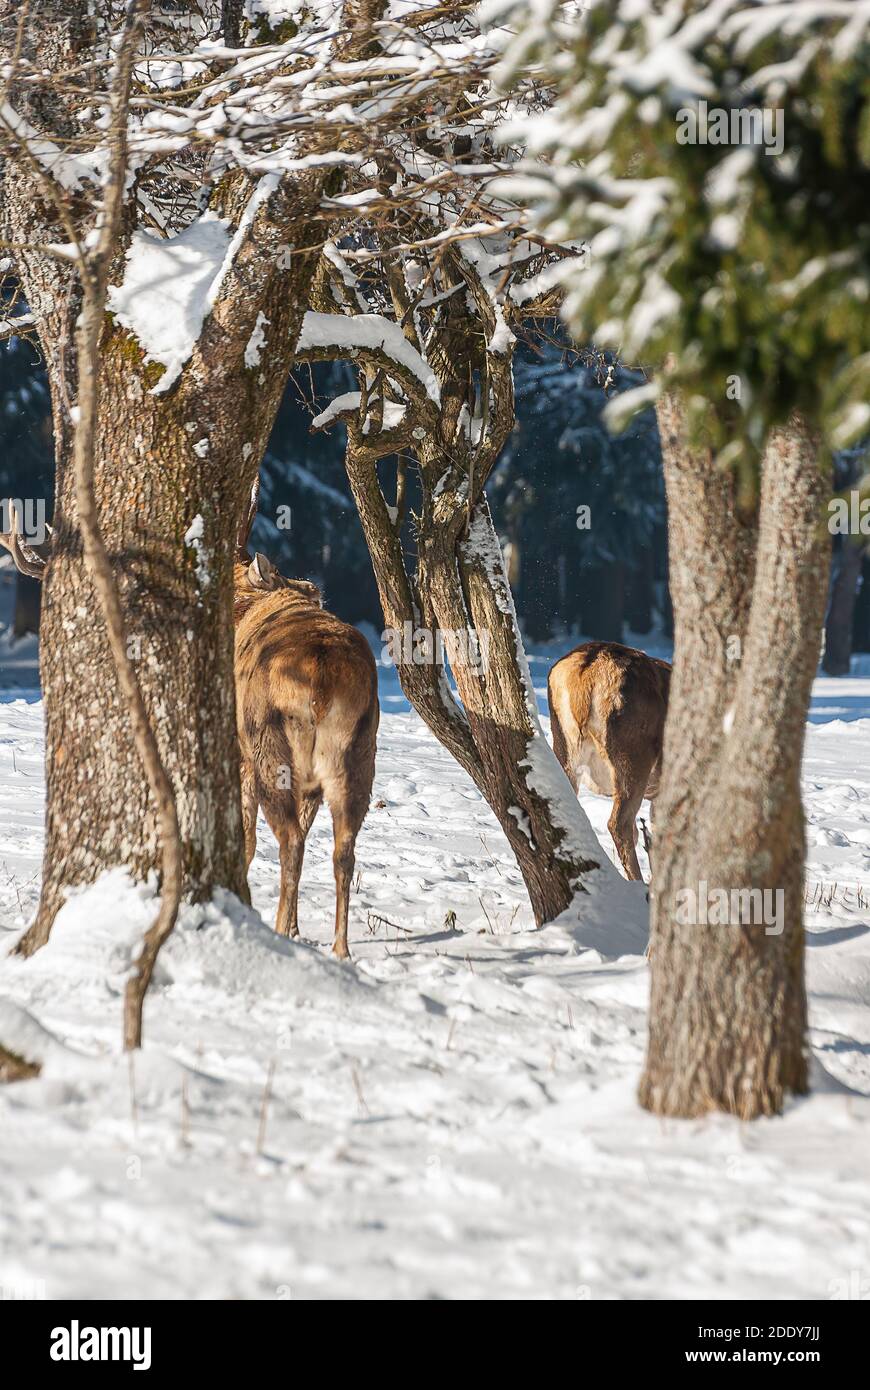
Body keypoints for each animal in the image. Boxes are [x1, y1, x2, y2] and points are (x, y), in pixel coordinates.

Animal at [234, 484, 379, 959]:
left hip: (268, 745)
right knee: (343, 849)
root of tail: (321, 677)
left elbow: (247, 842)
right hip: (356, 752)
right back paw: (340, 947)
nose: (313, 586)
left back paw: (280, 930)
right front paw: (298, 926)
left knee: (290, 840)